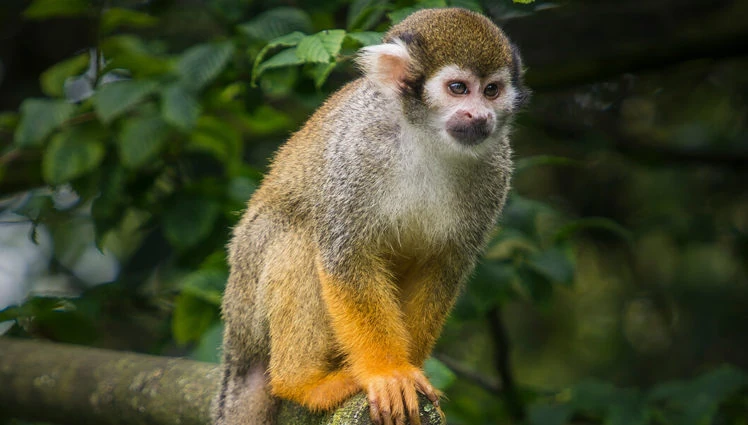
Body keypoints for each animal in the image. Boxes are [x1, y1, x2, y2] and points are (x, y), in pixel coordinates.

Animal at [214, 7, 529, 425]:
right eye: (458, 88)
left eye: (492, 90)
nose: (480, 116)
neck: (424, 137)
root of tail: (235, 340)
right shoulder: (359, 147)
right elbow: (346, 254)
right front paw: (388, 372)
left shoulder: (497, 167)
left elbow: (443, 265)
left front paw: (411, 371)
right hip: (249, 296)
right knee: (298, 232)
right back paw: (301, 383)